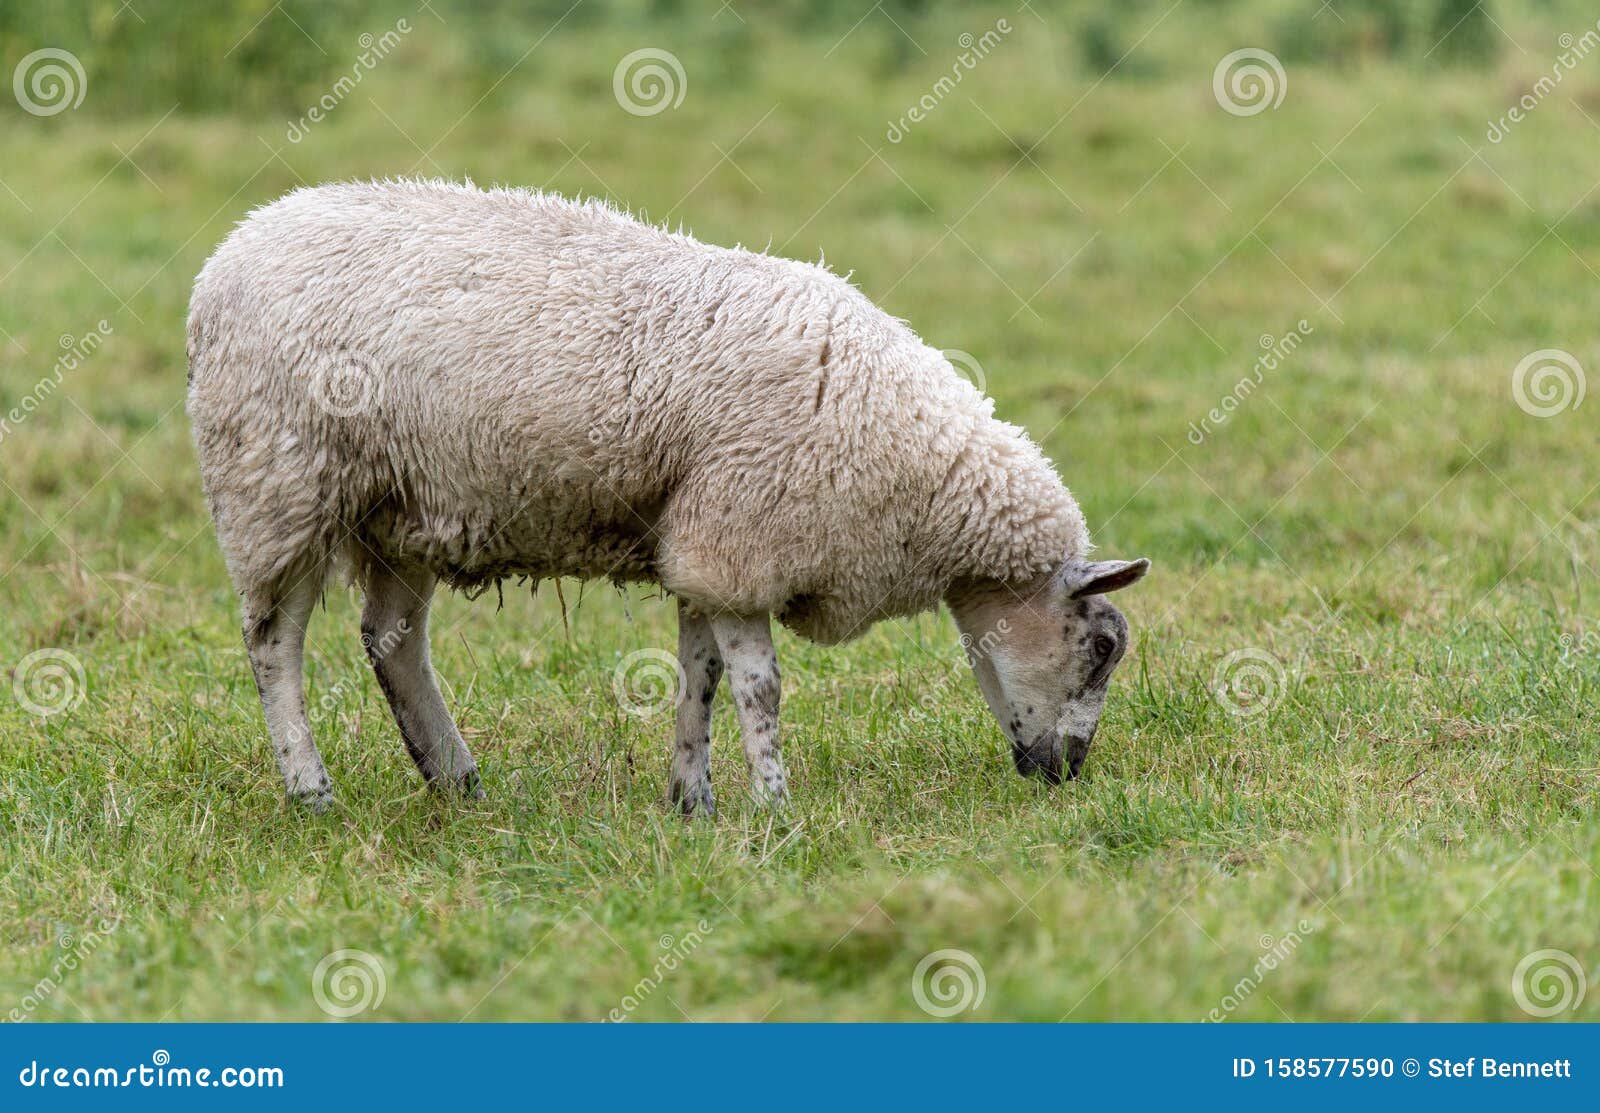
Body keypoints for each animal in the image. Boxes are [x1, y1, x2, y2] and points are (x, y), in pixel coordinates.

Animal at [186, 179, 1149, 813]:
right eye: (1101, 648)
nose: (1068, 774)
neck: (920, 473)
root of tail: (229, 251)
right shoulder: (744, 538)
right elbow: (761, 688)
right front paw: (774, 804)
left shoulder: (706, 543)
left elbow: (703, 674)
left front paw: (694, 797)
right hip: (277, 483)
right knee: (274, 645)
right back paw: (311, 787)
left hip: (403, 511)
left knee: (392, 642)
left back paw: (456, 779)